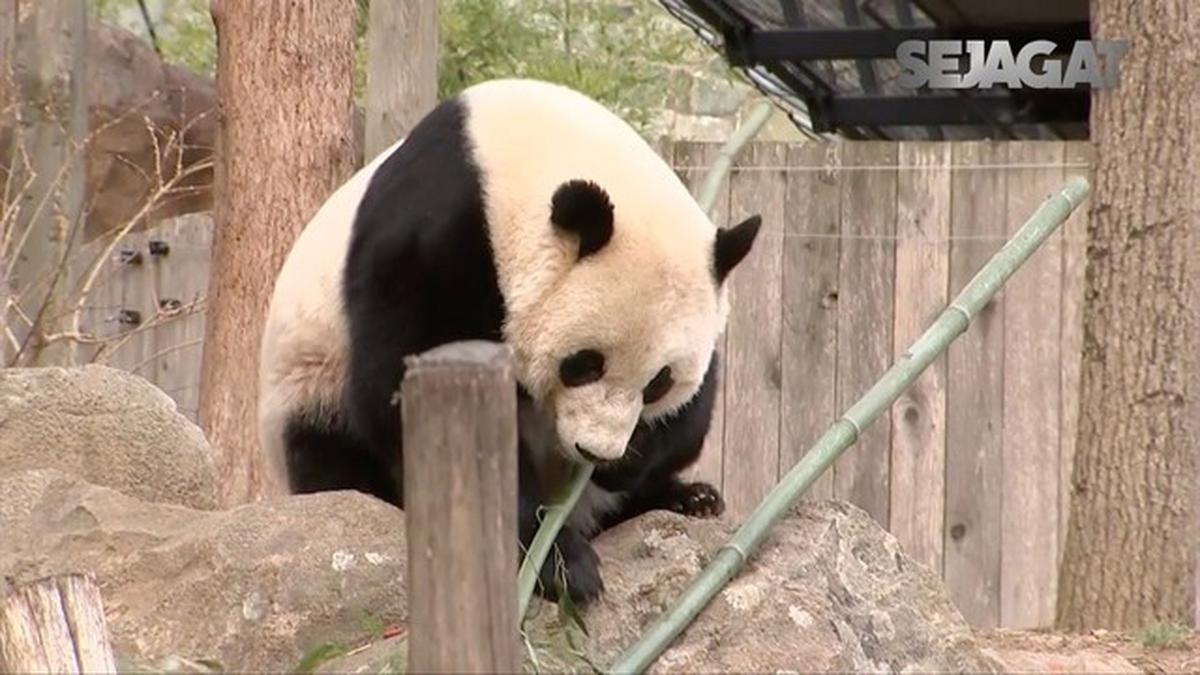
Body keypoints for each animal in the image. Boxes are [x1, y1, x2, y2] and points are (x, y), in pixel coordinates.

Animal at [258, 78, 762, 604]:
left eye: (659, 381)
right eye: (584, 363)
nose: (597, 452)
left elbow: (695, 412)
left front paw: (632, 461)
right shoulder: (431, 238)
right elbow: (402, 397)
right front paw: (561, 563)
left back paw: (690, 498)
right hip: (309, 384)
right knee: (336, 460)